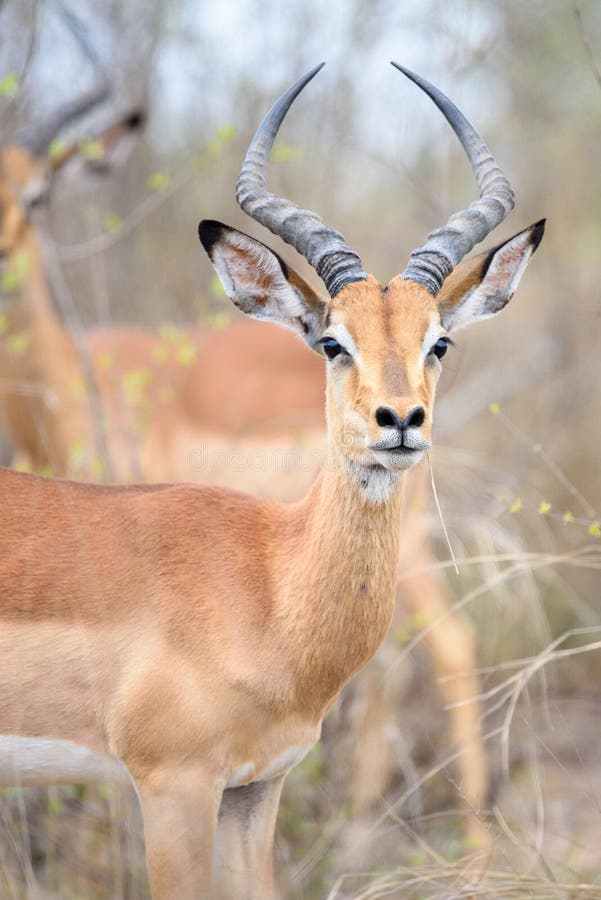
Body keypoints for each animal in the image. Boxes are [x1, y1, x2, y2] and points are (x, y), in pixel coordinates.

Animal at [0, 62, 544, 897]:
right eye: (331, 341)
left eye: (439, 341)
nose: (399, 420)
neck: (265, 579)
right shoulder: (177, 786)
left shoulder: (251, 789)